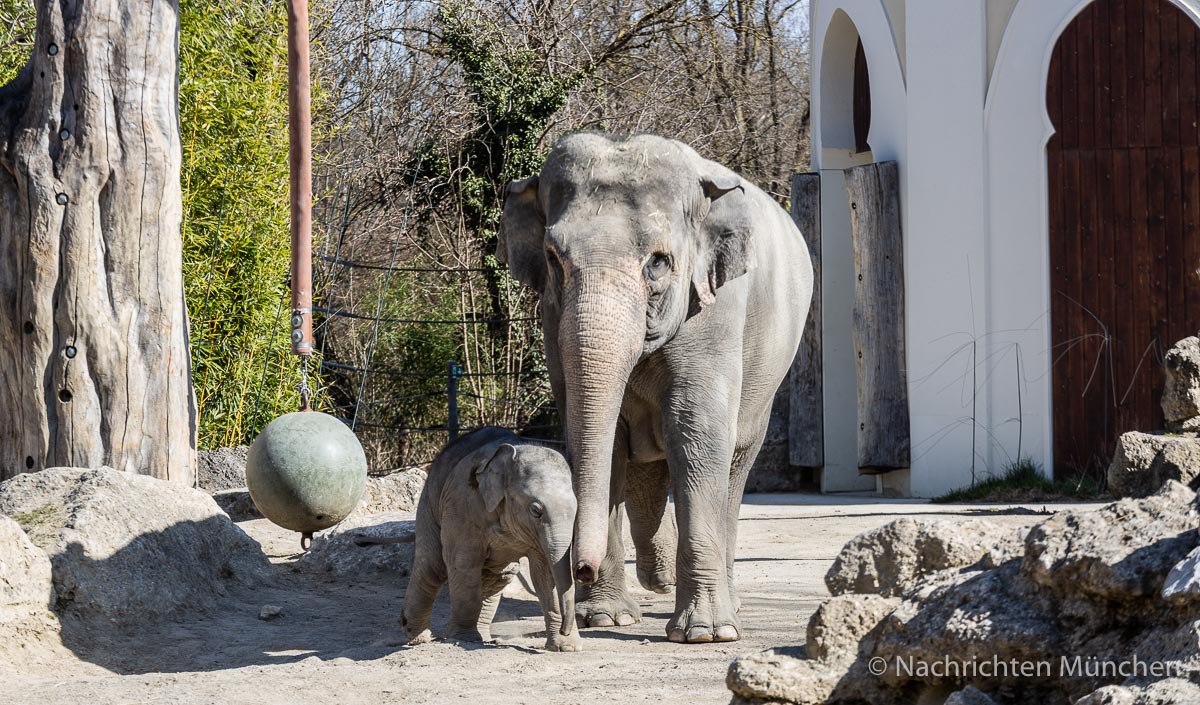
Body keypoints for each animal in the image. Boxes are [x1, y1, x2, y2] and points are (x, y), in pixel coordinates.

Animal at [401, 427, 581, 652]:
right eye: (536, 510)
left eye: (576, 510)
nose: (565, 628)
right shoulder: (462, 503)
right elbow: (463, 563)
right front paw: (464, 639)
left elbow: (545, 573)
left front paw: (567, 647)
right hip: (429, 505)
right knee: (432, 567)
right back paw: (417, 638)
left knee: (499, 575)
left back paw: (484, 637)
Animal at [497, 132, 813, 643]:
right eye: (552, 259)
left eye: (660, 263)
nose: (580, 569)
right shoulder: (552, 318)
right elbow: (602, 443)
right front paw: (604, 618)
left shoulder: (715, 309)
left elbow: (696, 434)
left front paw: (704, 633)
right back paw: (658, 576)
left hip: (768, 378)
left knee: (735, 465)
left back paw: (723, 604)